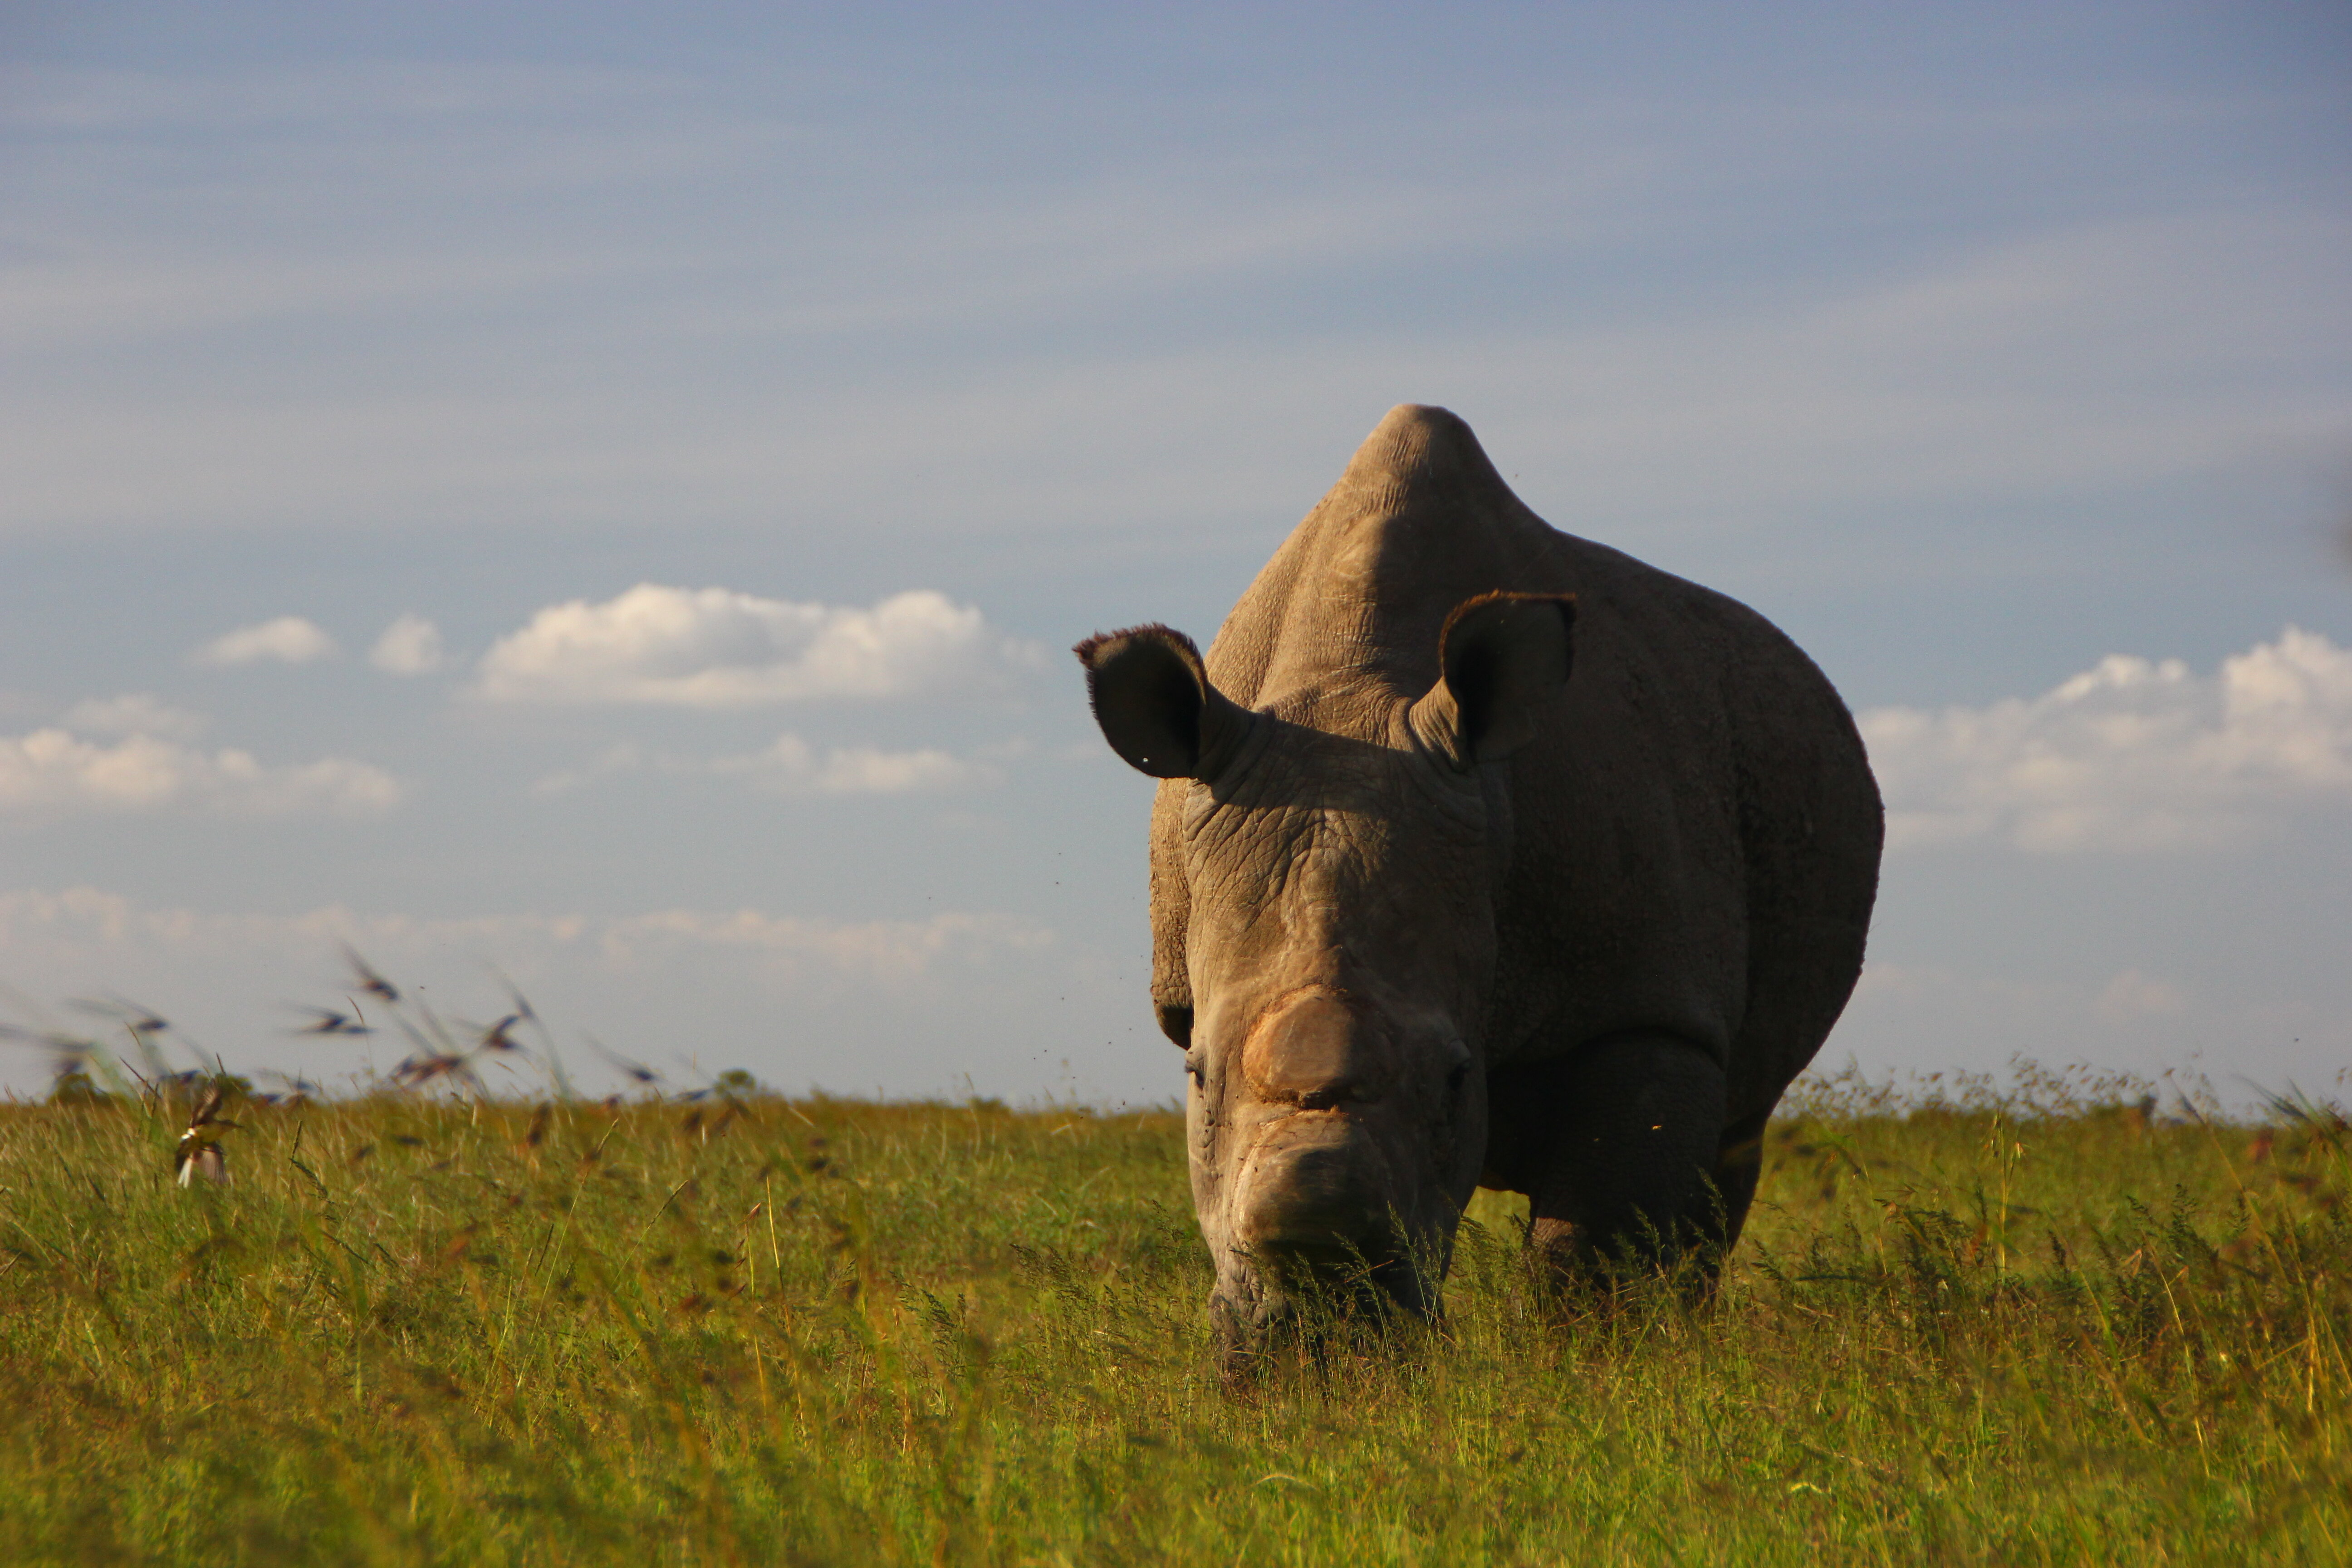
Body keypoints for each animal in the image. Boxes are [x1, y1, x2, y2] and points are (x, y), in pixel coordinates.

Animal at [1076, 405, 1881, 1359]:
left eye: (1458, 1078)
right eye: (1195, 1075)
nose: (1319, 1312)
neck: (1348, 690)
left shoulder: (1649, 1002)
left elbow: (1595, 1247)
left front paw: (1595, 1373)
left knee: (1734, 1134)